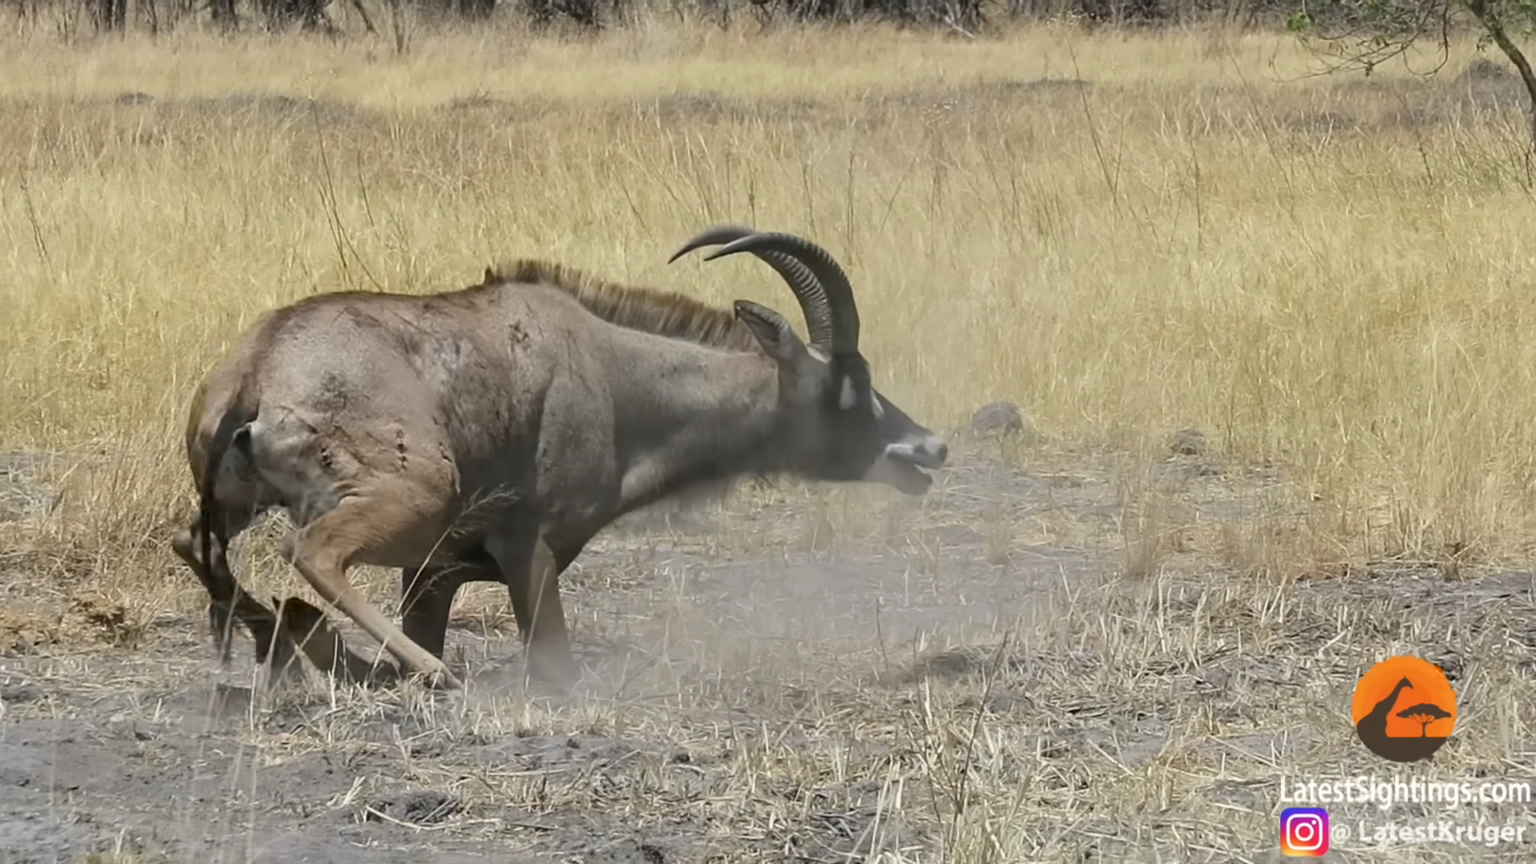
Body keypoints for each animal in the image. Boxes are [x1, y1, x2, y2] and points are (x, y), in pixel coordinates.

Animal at [170, 225, 949, 691]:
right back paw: (422, 671)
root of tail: (260, 370)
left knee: (193, 543)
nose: (929, 447)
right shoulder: (530, 548)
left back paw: (305, 645)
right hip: (415, 493)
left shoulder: (435, 574)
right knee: (314, 553)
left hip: (238, 505)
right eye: (849, 387)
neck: (611, 370)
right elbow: (556, 662)